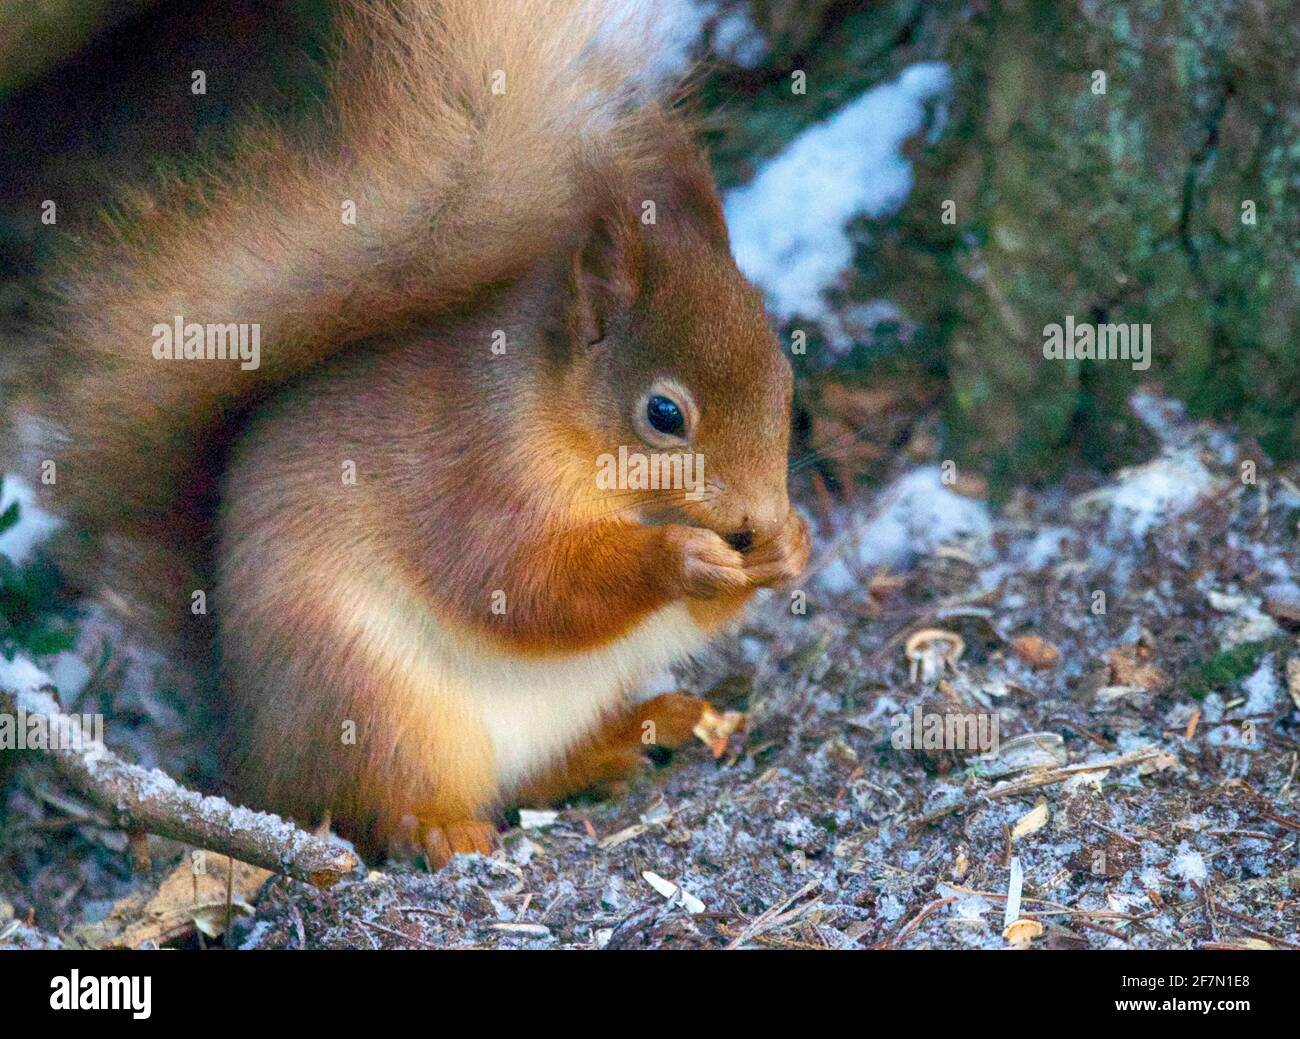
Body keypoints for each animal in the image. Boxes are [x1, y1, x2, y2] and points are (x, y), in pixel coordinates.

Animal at [5, 0, 810, 864]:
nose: (756, 516)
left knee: (535, 776)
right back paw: (441, 827)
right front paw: (681, 555)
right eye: (664, 415)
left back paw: (641, 729)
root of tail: (250, 748)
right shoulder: (471, 477)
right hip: (374, 702)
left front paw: (789, 544)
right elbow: (524, 587)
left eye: (785, 376)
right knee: (378, 803)